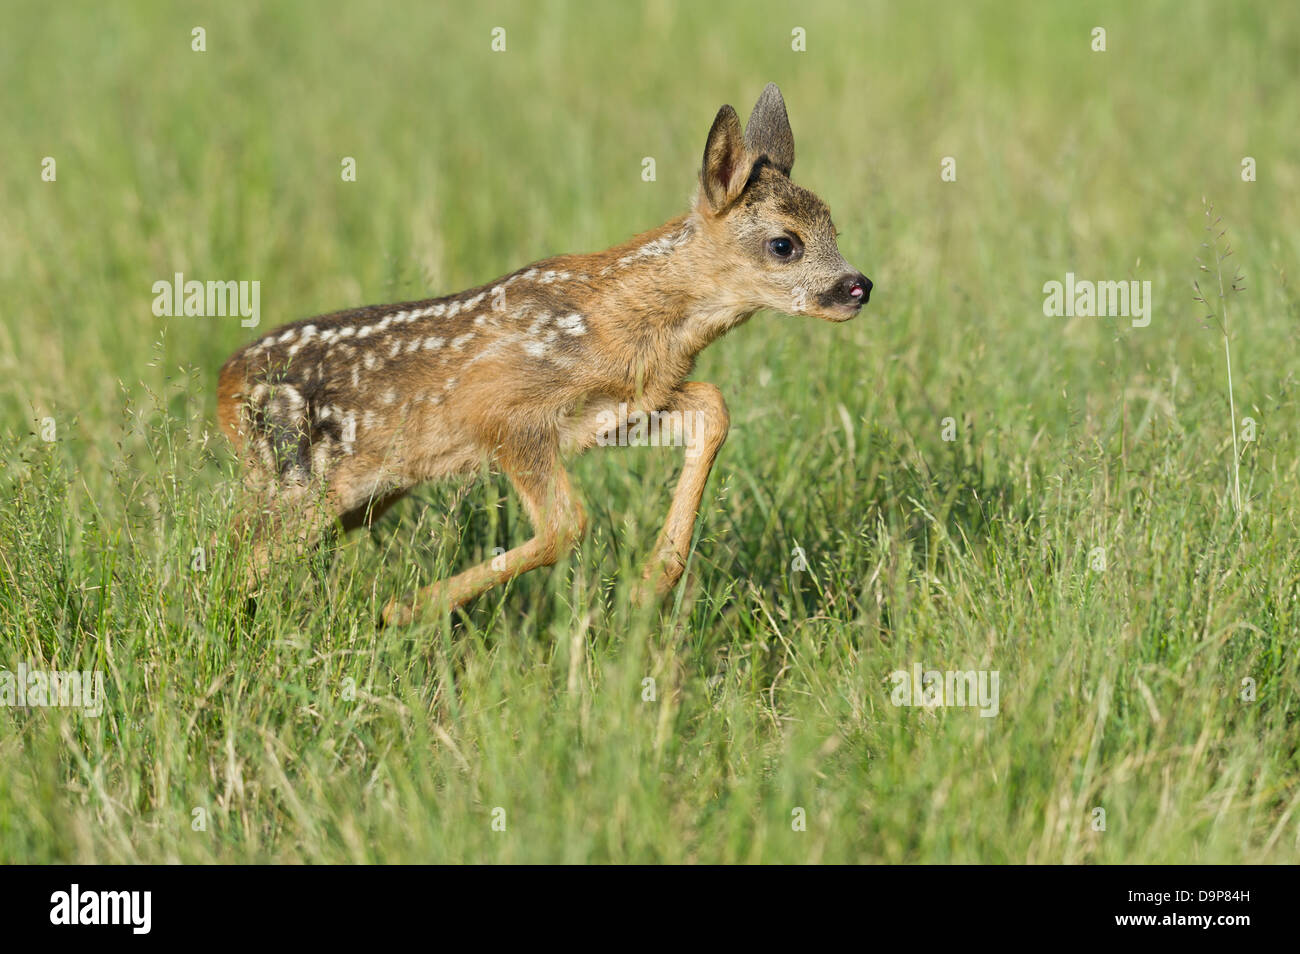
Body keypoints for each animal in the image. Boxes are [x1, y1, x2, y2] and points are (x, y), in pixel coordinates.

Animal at [216, 83, 871, 625]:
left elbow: (713, 404)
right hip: (295, 481)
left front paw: (651, 583)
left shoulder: (615, 406)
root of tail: (222, 385)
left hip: (361, 494)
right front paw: (406, 609)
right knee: (235, 555)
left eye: (836, 229)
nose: (859, 286)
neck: (620, 318)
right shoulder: (503, 412)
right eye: (784, 244)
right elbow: (566, 526)